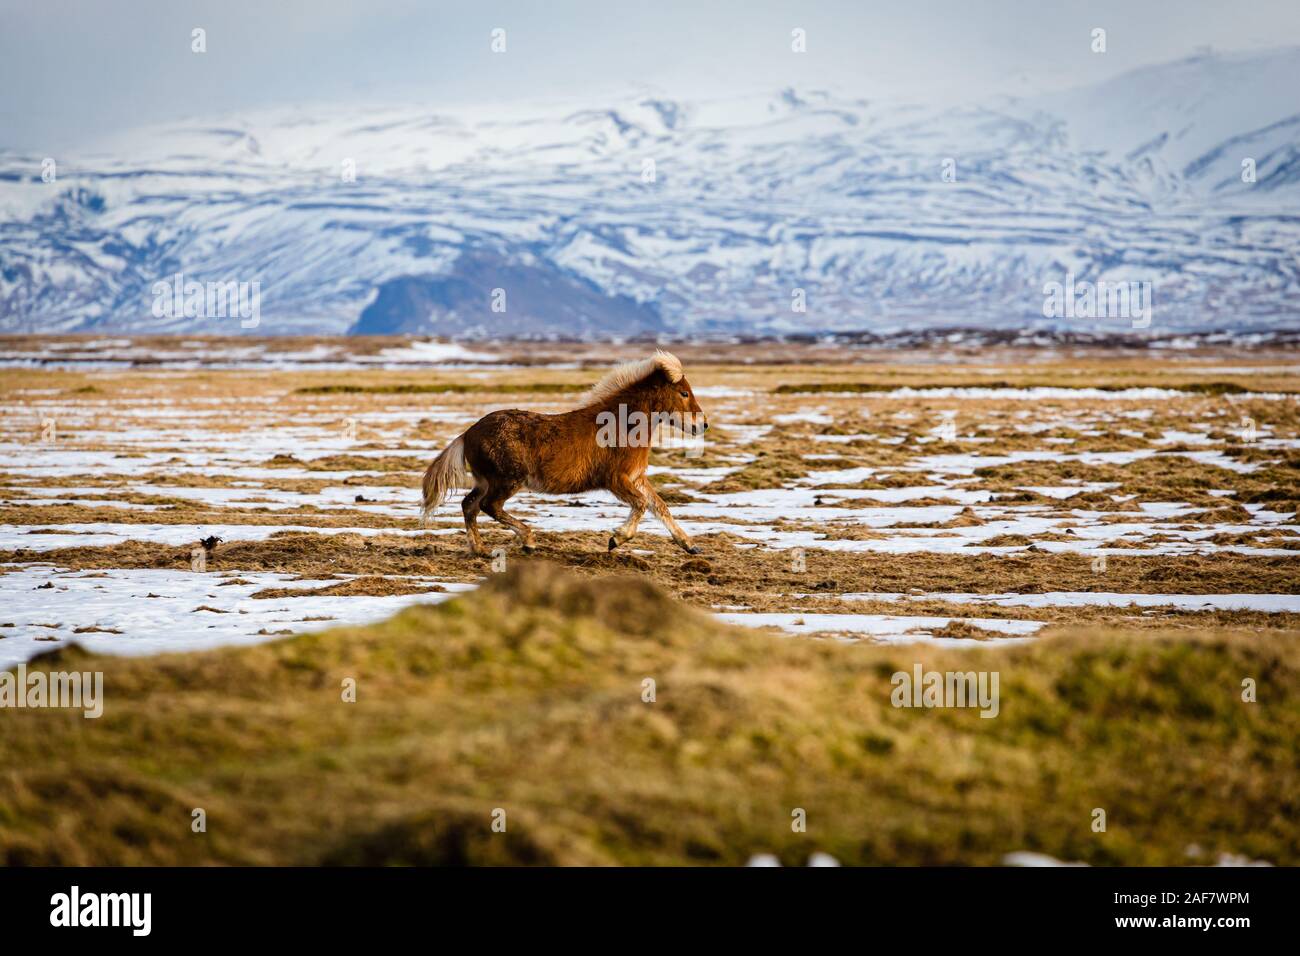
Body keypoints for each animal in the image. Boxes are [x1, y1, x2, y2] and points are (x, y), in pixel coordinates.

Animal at [420, 350, 709, 556]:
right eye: (684, 393)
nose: (702, 425)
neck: (621, 424)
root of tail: (467, 433)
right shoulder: (615, 479)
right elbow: (640, 504)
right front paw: (615, 539)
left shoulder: (636, 477)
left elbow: (659, 506)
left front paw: (690, 545)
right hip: (507, 480)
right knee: (489, 506)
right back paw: (528, 541)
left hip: (484, 480)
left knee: (469, 505)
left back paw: (480, 549)